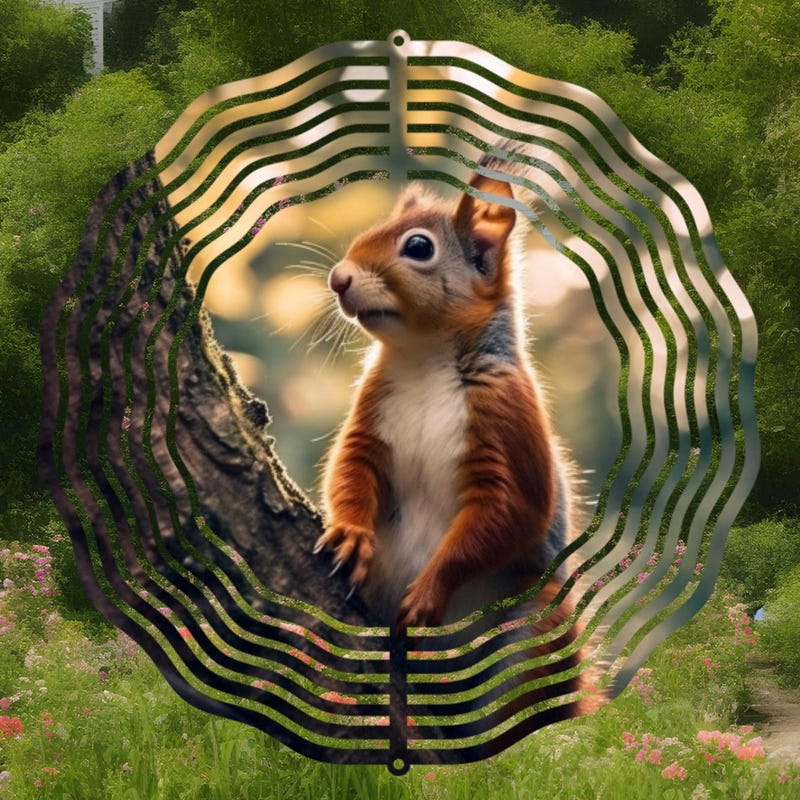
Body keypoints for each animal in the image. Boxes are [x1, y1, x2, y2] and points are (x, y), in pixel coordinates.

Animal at [314, 161, 585, 691]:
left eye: (419, 247)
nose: (338, 278)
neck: (424, 358)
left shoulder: (507, 419)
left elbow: (508, 512)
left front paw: (427, 593)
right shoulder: (369, 417)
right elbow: (349, 470)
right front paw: (350, 534)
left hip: (535, 625)